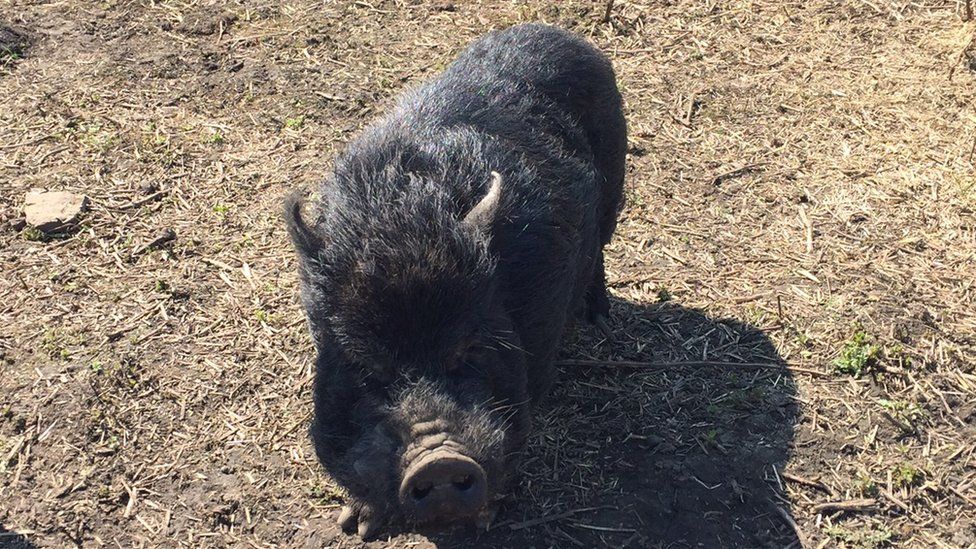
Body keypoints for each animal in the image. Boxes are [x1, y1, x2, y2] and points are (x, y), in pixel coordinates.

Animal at [285, 23, 626, 538]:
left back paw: (600, 320)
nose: (439, 461)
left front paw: (486, 518)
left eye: (467, 349)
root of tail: (556, 32)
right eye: (367, 367)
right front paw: (357, 526)